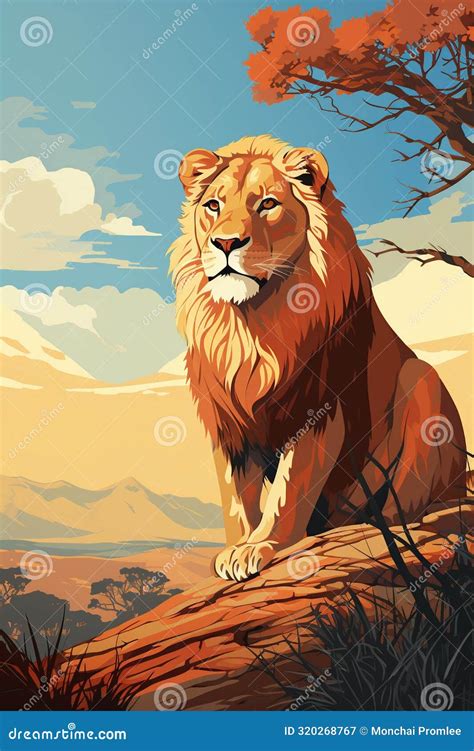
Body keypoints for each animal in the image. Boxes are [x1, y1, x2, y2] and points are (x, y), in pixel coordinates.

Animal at [169, 135, 466, 582]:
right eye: (214, 206)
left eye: (268, 204)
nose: (226, 243)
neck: (252, 323)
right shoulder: (228, 421)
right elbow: (236, 499)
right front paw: (236, 547)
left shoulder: (317, 409)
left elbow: (288, 489)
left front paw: (261, 547)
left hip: (422, 379)